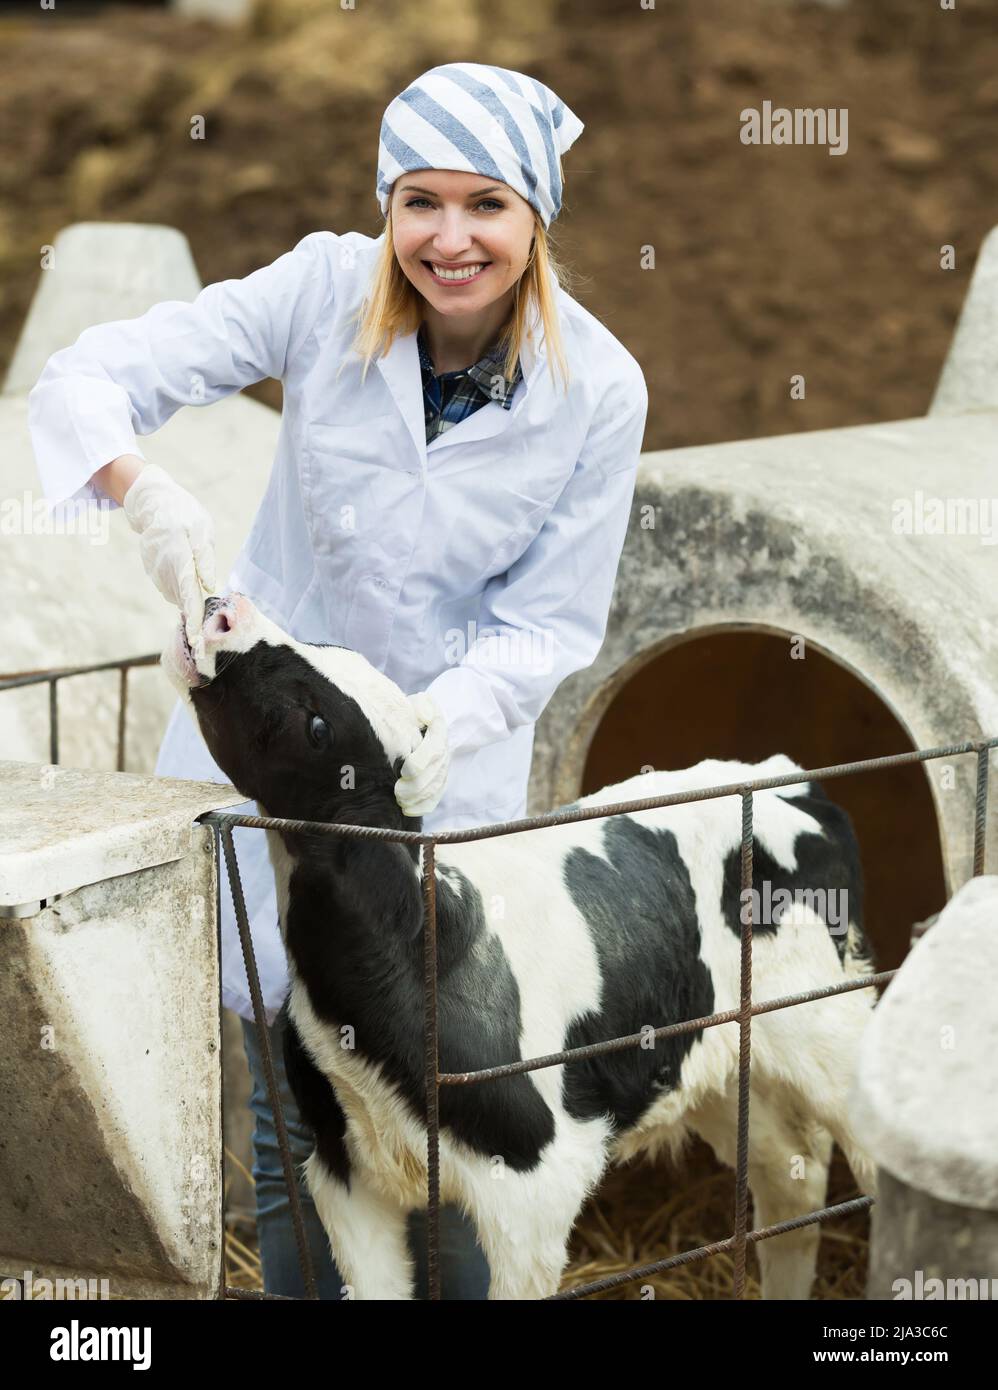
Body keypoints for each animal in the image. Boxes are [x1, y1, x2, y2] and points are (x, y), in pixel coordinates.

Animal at [162, 591, 877, 1300]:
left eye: (316, 725)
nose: (225, 608)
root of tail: (785, 776)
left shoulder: (535, 1183)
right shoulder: (345, 1171)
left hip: (825, 1026)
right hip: (720, 1061)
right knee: (792, 1179)